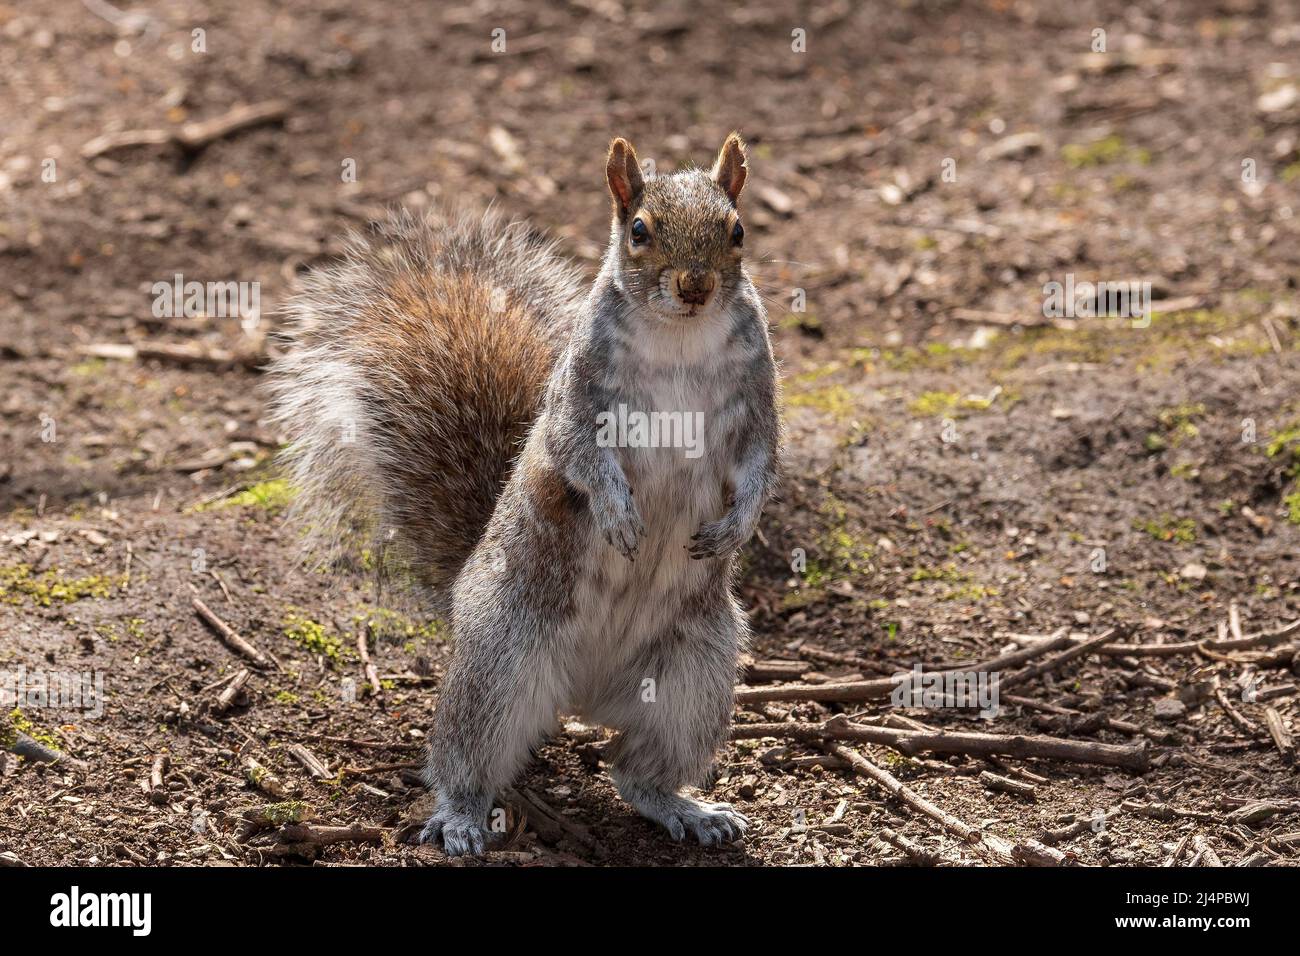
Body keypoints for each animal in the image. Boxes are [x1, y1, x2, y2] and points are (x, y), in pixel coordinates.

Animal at [267, 133, 781, 855]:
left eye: (737, 231)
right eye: (639, 231)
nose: (696, 285)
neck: (681, 337)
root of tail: (582, 698)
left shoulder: (757, 398)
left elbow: (762, 461)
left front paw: (739, 524)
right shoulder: (579, 400)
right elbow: (578, 454)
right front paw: (619, 515)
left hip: (696, 676)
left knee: (636, 772)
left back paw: (687, 808)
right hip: (502, 659)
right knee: (466, 755)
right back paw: (461, 815)